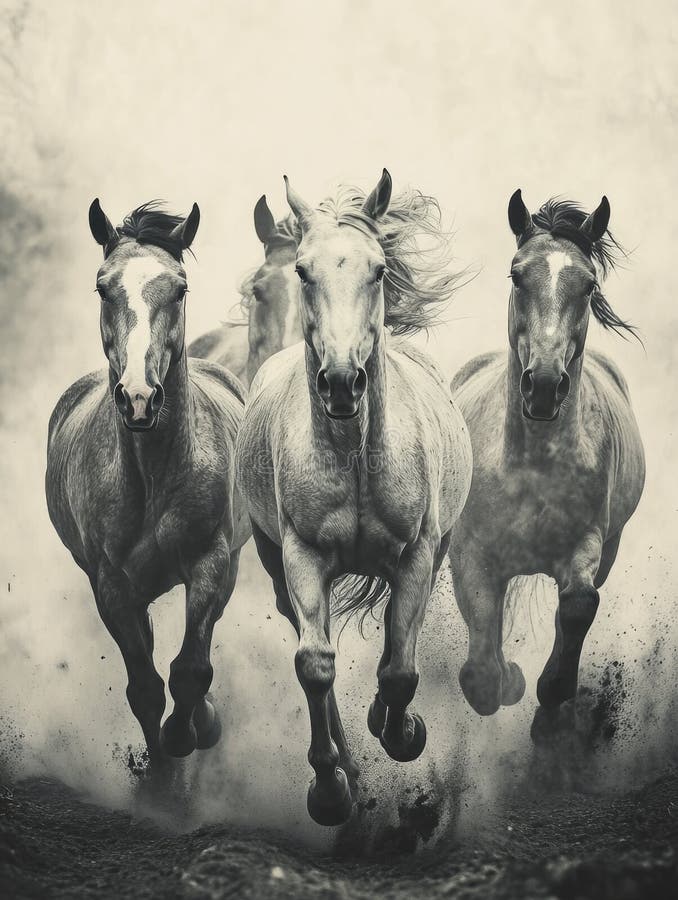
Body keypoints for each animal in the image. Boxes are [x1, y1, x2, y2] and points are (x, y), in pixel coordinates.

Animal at [45, 200, 251, 771]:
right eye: (102, 288)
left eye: (179, 288)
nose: (138, 398)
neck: (152, 475)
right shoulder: (110, 584)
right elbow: (144, 687)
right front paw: (159, 770)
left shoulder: (209, 562)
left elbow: (190, 670)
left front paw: (186, 735)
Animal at [235, 170, 473, 825]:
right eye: (303, 271)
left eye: (377, 269)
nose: (341, 381)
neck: (356, 453)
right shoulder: (301, 557)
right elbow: (315, 666)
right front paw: (331, 789)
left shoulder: (417, 554)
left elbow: (400, 669)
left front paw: (404, 733)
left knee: (396, 636)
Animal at [448, 190, 645, 738]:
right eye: (517, 275)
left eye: (589, 283)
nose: (543, 385)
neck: (531, 467)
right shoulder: (471, 556)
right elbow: (481, 673)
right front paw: (509, 679)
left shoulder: (587, 545)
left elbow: (578, 607)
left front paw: (549, 700)